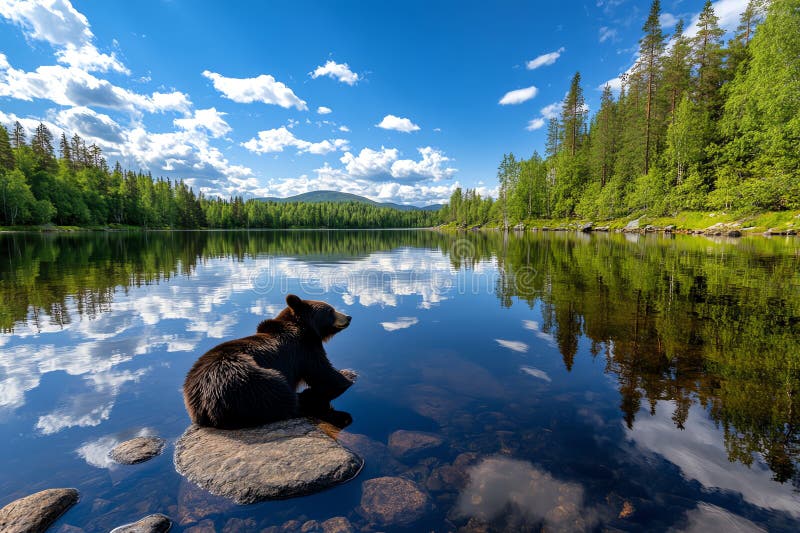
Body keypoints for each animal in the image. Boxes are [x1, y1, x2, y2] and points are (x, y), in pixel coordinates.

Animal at [182, 294, 356, 429]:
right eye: (330, 310)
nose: (349, 317)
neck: (306, 328)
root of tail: (205, 403)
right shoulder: (304, 350)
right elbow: (323, 373)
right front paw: (349, 374)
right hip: (243, 380)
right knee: (279, 393)